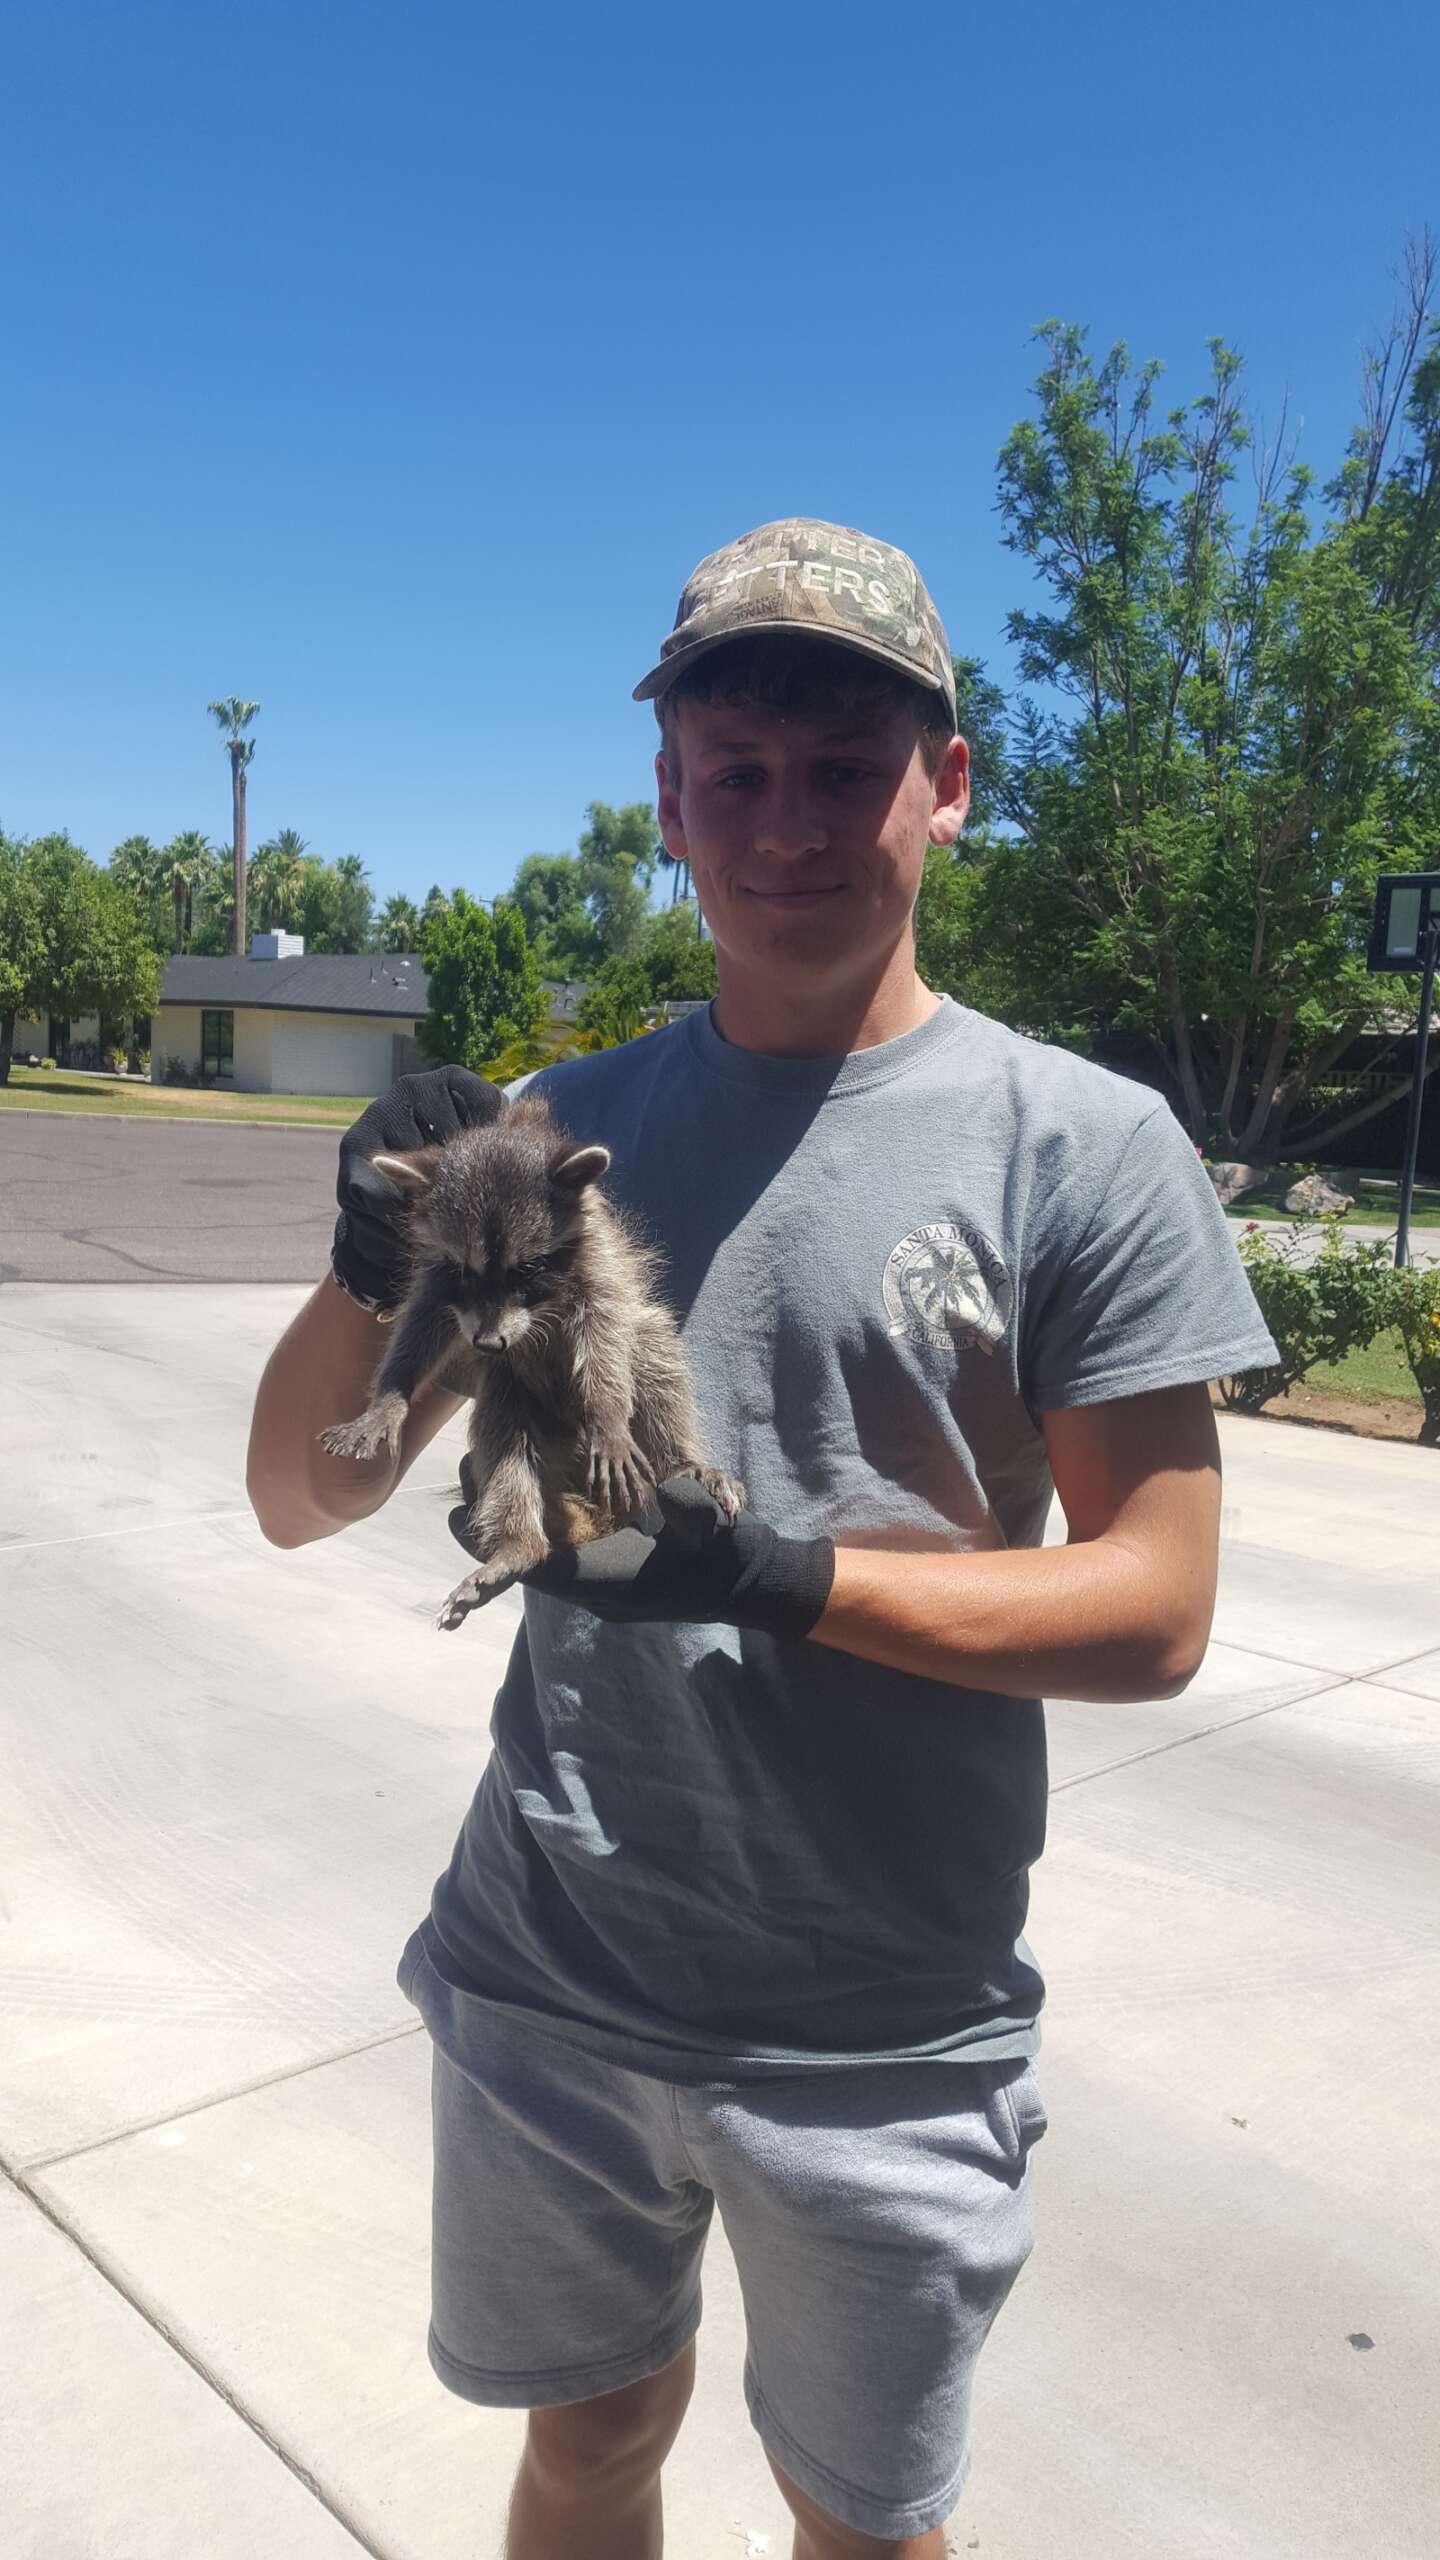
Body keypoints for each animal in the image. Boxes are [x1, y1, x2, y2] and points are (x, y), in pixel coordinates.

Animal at [320, 1094, 744, 1628]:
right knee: (503, 1435)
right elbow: (418, 1326)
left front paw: (608, 1414)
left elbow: (608, 1331)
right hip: (512, 1391)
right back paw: (519, 1544)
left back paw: (683, 1464)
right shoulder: (438, 1276)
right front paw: (390, 1395)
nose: (488, 1343)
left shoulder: (599, 1258)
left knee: (652, 1350)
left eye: (526, 1268)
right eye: (464, 1270)